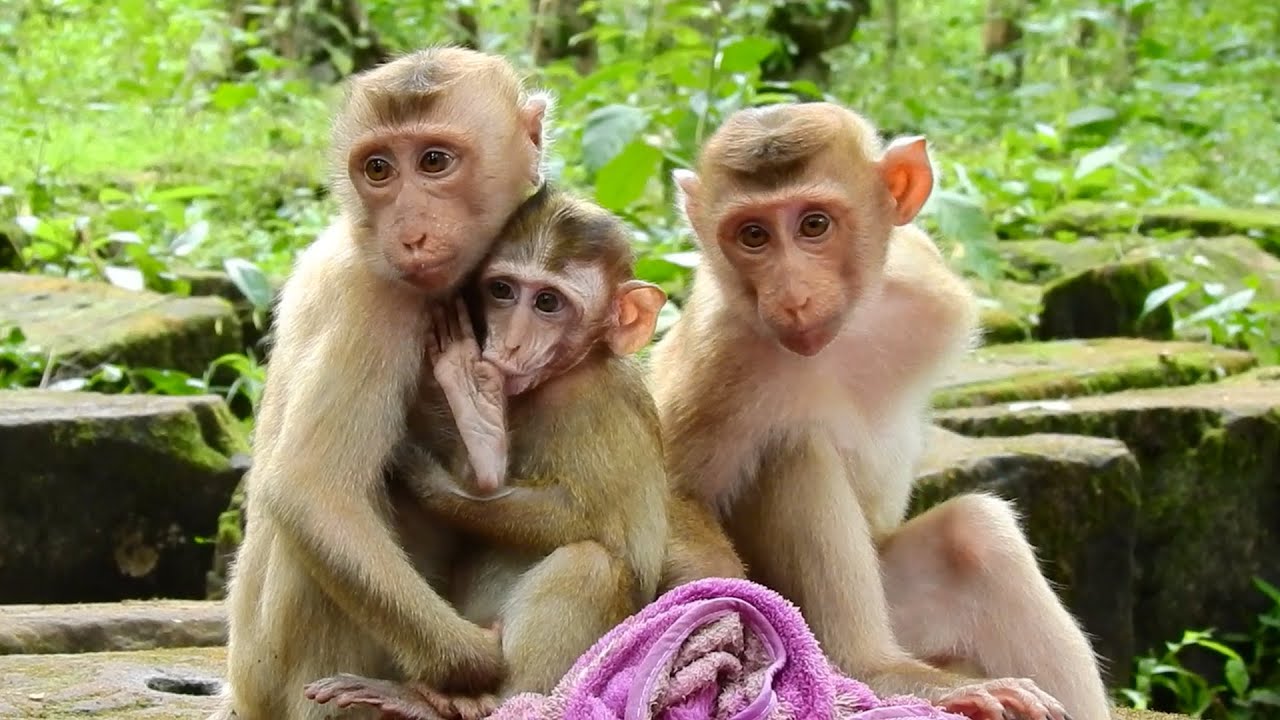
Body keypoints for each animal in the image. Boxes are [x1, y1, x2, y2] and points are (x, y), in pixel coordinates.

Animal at [212, 47, 551, 720]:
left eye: (434, 161)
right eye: (378, 169)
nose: (409, 233)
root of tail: (238, 689)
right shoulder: (375, 300)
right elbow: (310, 491)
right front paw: (474, 665)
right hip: (271, 670)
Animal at [302, 187, 673, 720]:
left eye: (547, 302)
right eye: (503, 291)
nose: (510, 343)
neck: (559, 377)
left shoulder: (597, 405)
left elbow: (598, 523)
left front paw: (443, 477)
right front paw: (476, 424)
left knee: (590, 564)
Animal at [649, 101, 1112, 720]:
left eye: (814, 225)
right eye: (753, 236)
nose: (792, 295)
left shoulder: (923, 270)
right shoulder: (718, 352)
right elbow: (671, 492)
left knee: (974, 533)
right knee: (796, 450)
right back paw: (878, 672)